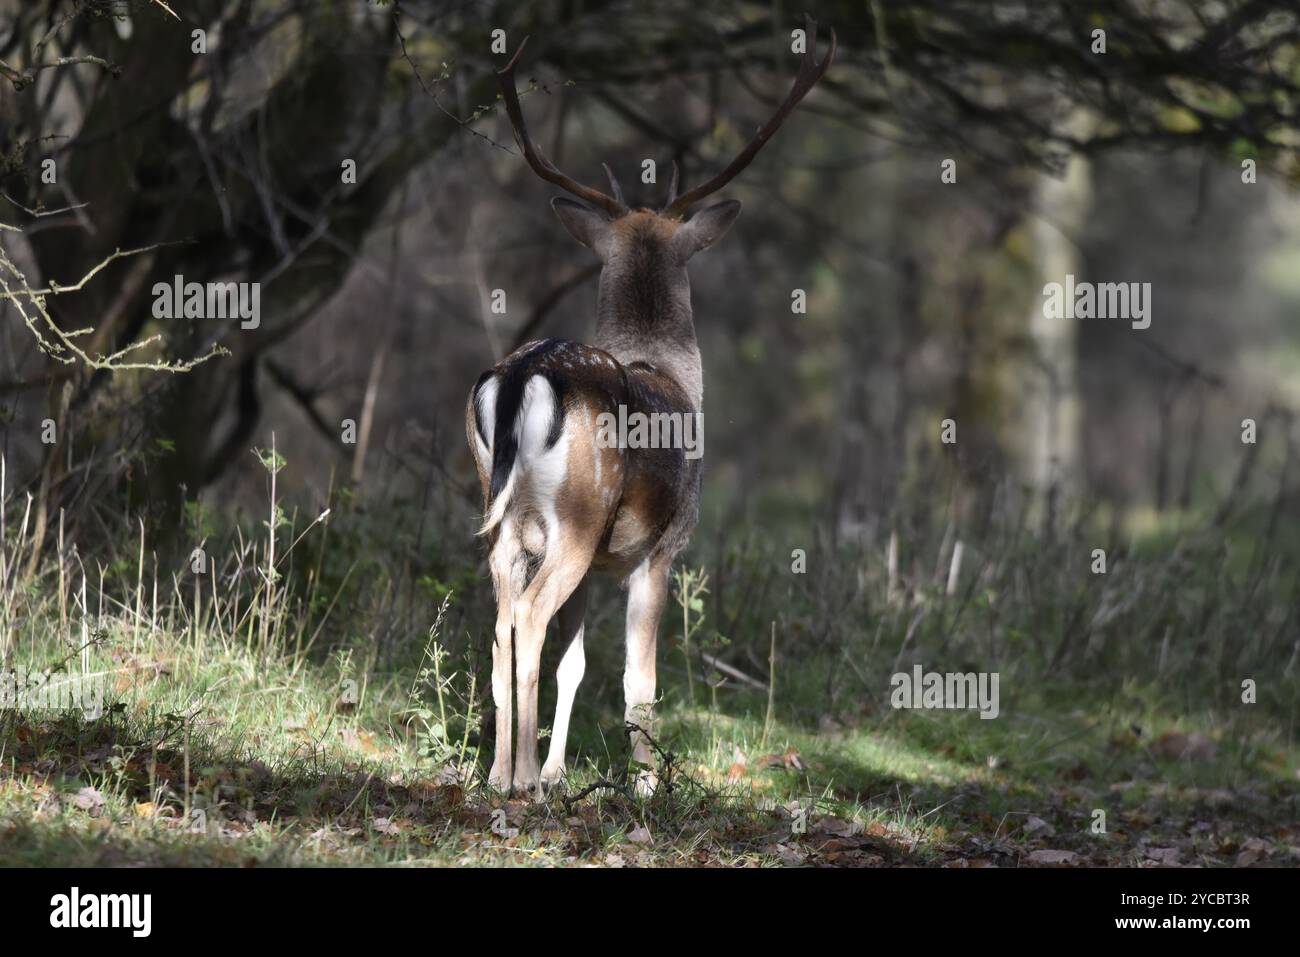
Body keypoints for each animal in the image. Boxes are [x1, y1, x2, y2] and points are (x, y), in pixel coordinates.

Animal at [466, 17, 835, 799]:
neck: (671, 372)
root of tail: (522, 376)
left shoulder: (601, 561)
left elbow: (576, 666)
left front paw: (558, 772)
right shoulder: (662, 546)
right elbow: (639, 679)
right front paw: (643, 784)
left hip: (502, 514)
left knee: (502, 621)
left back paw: (499, 773)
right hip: (578, 513)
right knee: (528, 619)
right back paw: (516, 778)